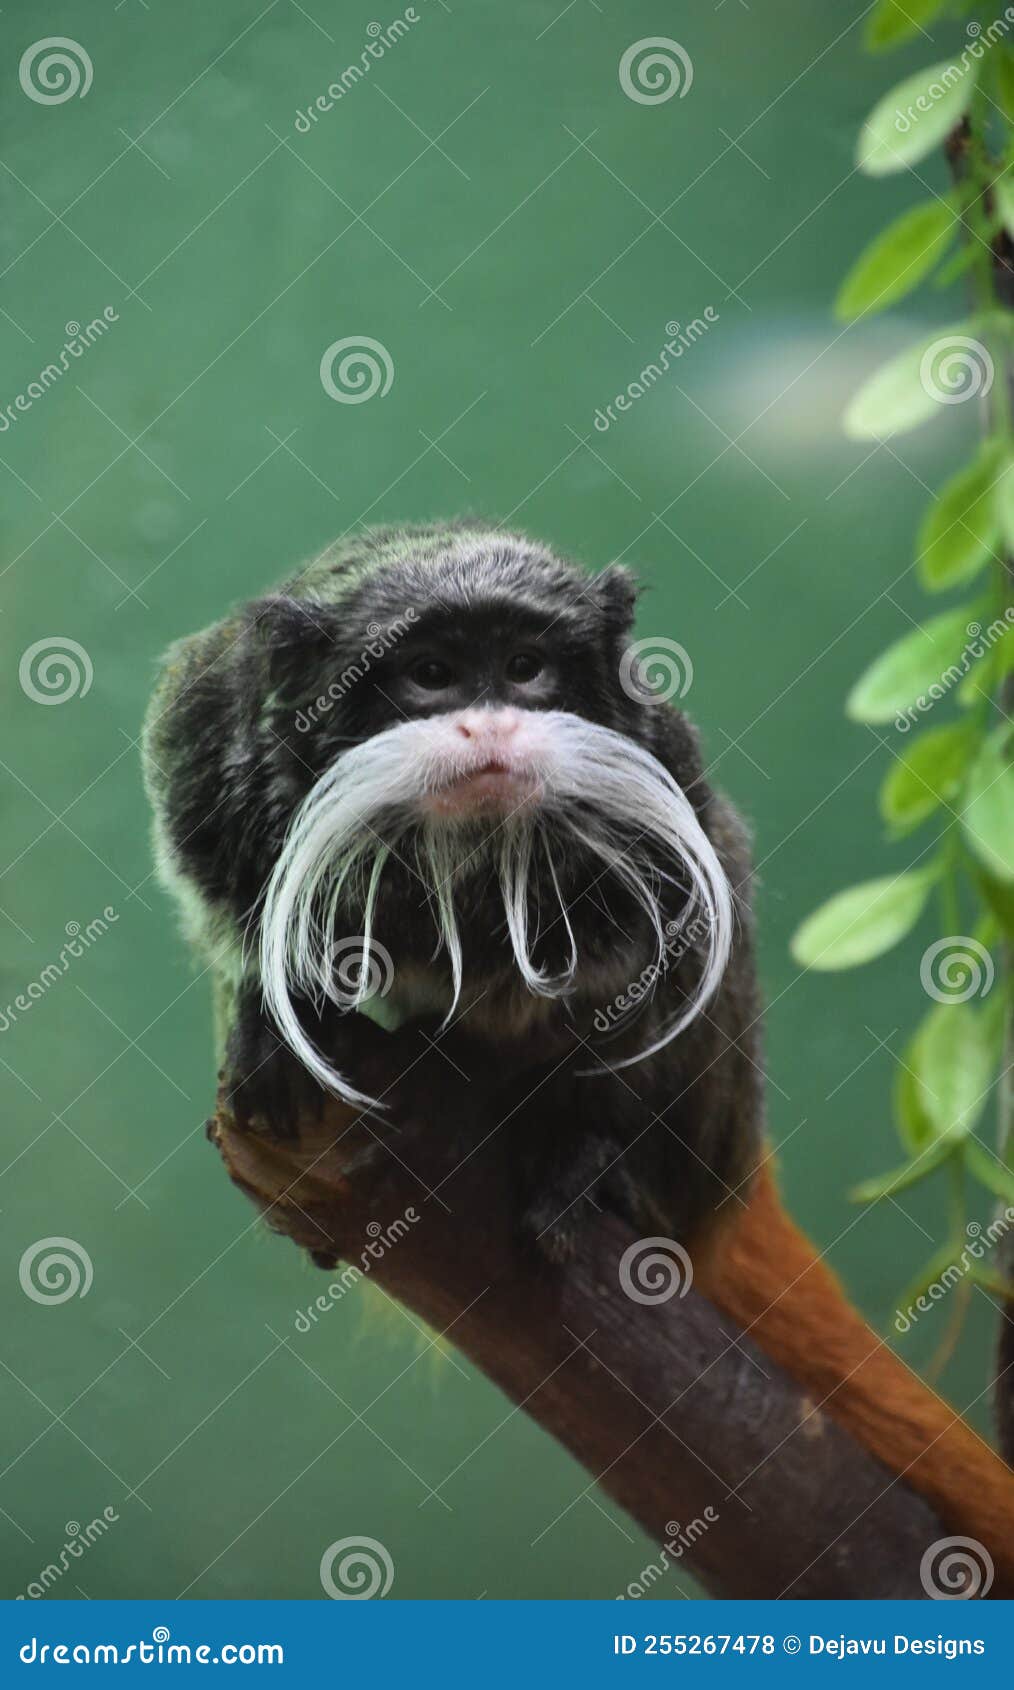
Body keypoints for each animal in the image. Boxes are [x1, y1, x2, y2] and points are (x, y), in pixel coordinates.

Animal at [143, 521, 763, 1262]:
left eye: (525, 667)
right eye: (432, 675)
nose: (489, 726)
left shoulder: (664, 764)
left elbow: (637, 963)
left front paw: (577, 1134)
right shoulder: (210, 760)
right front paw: (273, 1018)